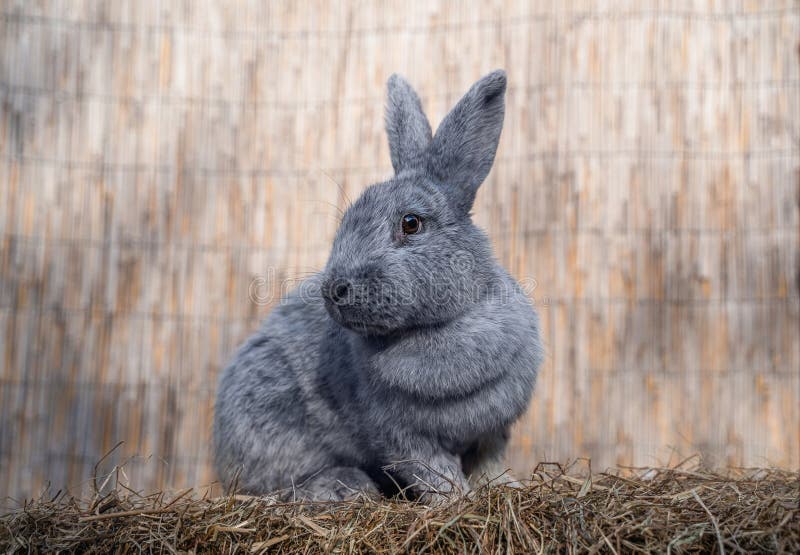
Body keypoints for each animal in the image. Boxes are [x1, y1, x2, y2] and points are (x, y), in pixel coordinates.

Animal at [213, 70, 543, 503]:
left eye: (411, 223)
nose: (334, 289)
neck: (439, 326)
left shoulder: (494, 430)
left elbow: (489, 462)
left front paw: (504, 486)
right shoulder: (404, 440)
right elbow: (436, 474)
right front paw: (459, 501)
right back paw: (345, 486)